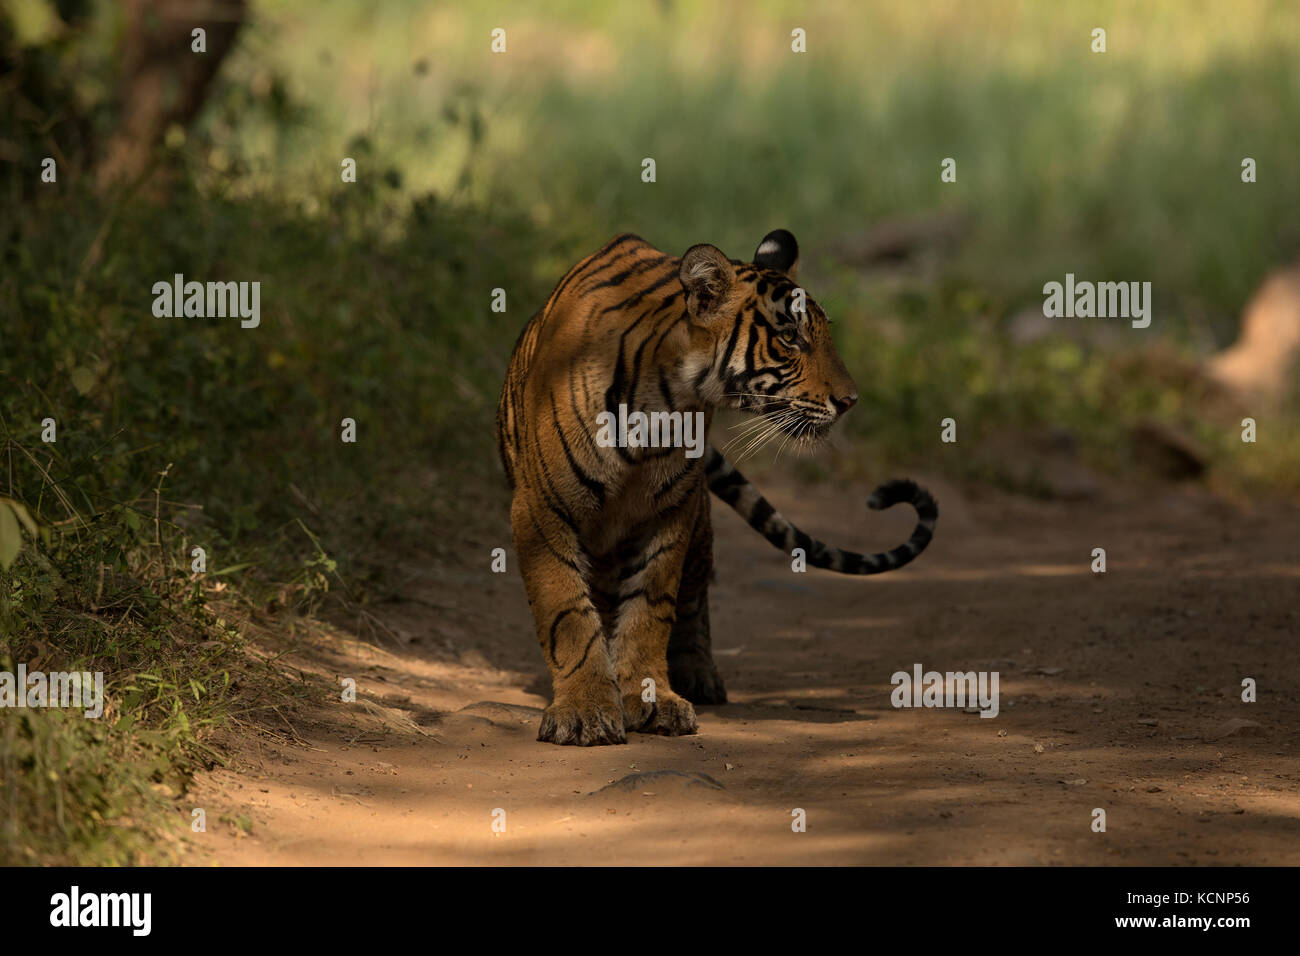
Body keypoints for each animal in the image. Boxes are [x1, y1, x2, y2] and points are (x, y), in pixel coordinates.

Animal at [496, 229, 937, 746]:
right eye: (791, 338)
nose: (850, 401)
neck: (663, 402)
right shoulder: (542, 509)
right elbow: (566, 610)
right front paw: (585, 711)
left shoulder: (672, 509)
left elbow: (651, 608)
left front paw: (650, 698)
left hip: (697, 530)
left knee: (690, 598)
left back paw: (698, 676)